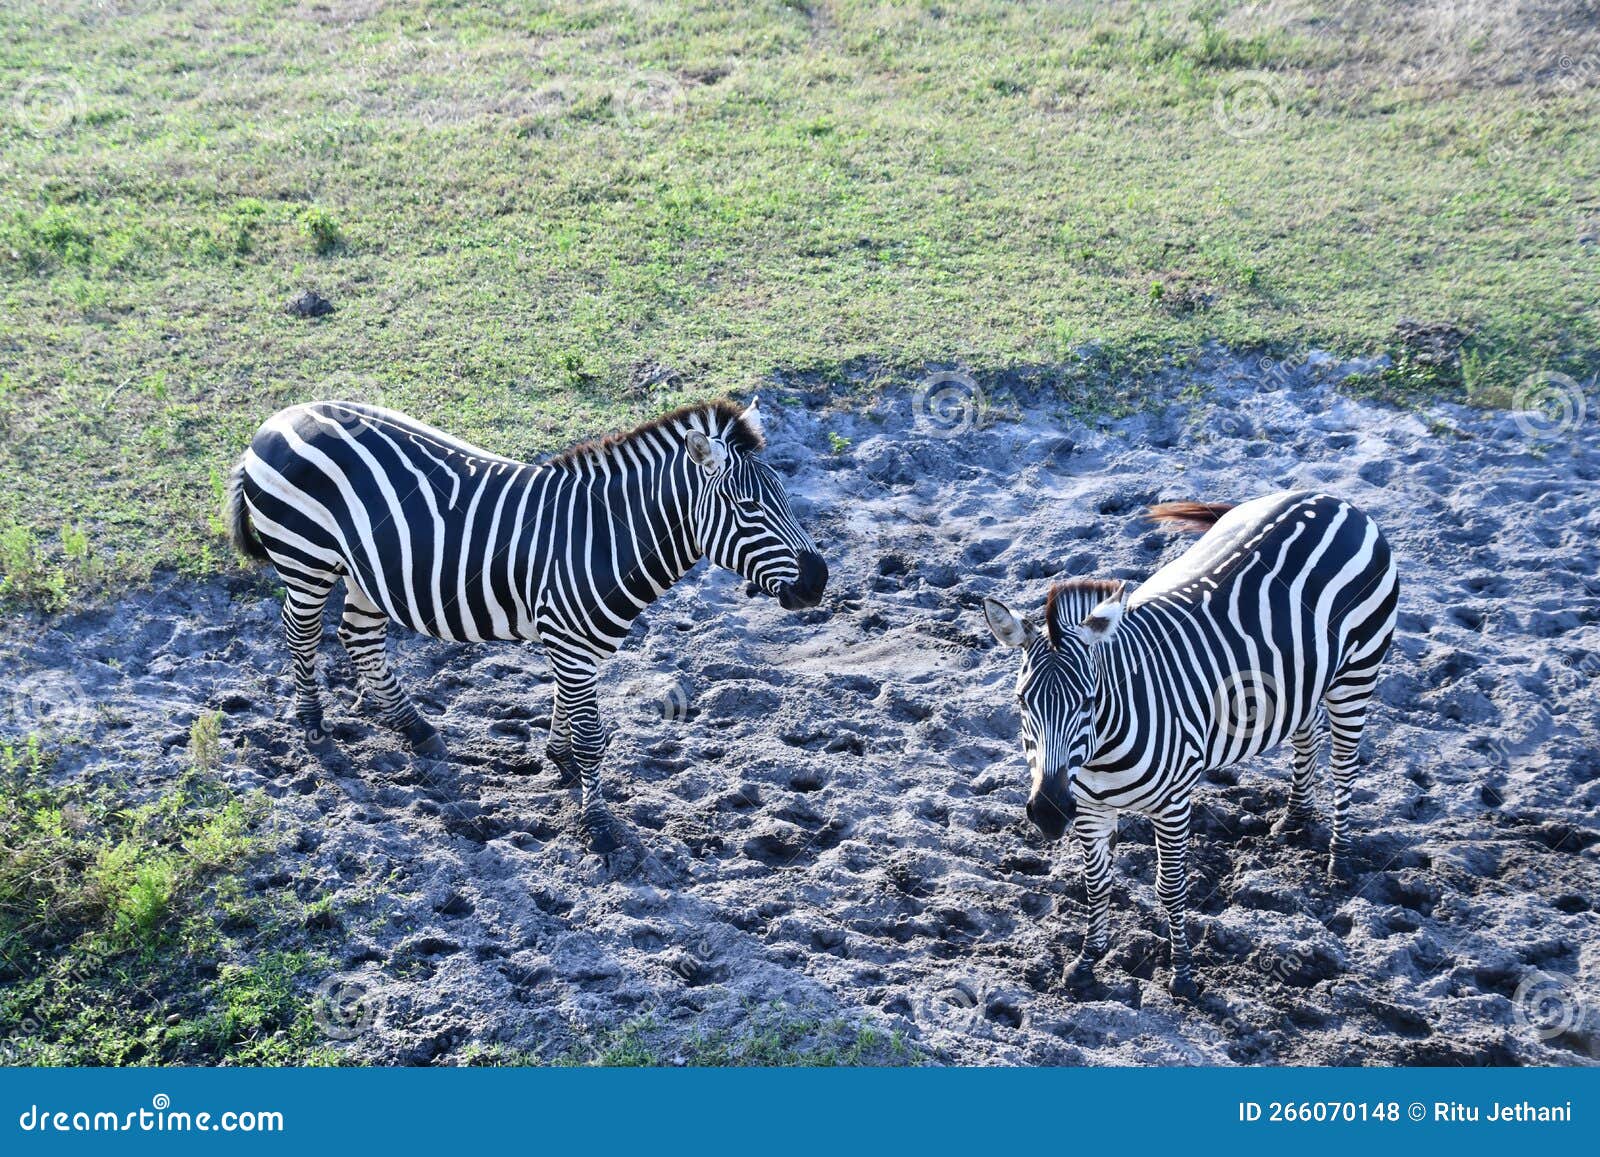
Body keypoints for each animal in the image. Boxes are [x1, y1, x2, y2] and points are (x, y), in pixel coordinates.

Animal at [225, 396, 827, 853]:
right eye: (748, 508)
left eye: (785, 497)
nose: (818, 582)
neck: (606, 536)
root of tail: (279, 418)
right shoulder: (570, 640)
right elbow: (593, 739)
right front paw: (599, 827)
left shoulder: (578, 643)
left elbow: (569, 715)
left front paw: (560, 762)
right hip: (305, 558)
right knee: (300, 632)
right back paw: (312, 724)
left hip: (366, 570)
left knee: (358, 635)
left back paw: (415, 727)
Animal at [981, 490, 1398, 998]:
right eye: (1023, 700)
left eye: (1090, 700)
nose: (1048, 811)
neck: (1099, 755)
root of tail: (1330, 497)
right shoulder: (1090, 805)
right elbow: (1097, 884)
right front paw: (1086, 962)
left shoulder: (1174, 803)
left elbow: (1170, 888)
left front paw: (1181, 972)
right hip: (1300, 677)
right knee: (1307, 730)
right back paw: (1295, 818)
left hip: (1358, 669)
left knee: (1344, 763)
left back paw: (1339, 857)